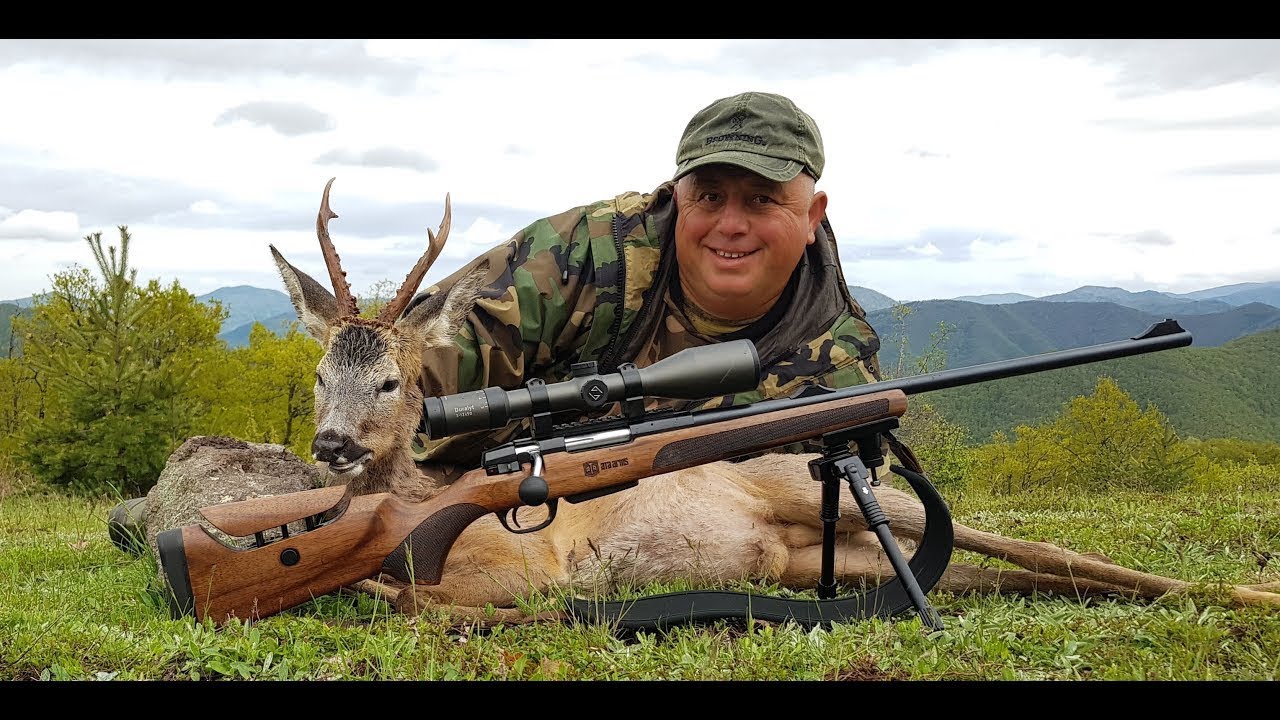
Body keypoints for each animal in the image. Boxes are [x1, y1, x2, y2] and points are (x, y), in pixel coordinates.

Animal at [266, 178, 1280, 626]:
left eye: (392, 379)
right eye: (318, 375)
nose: (333, 446)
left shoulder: (520, 564)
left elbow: (432, 594)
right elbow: (394, 592)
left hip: (834, 494)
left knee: (1043, 550)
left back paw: (1244, 592)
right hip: (833, 553)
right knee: (1013, 573)